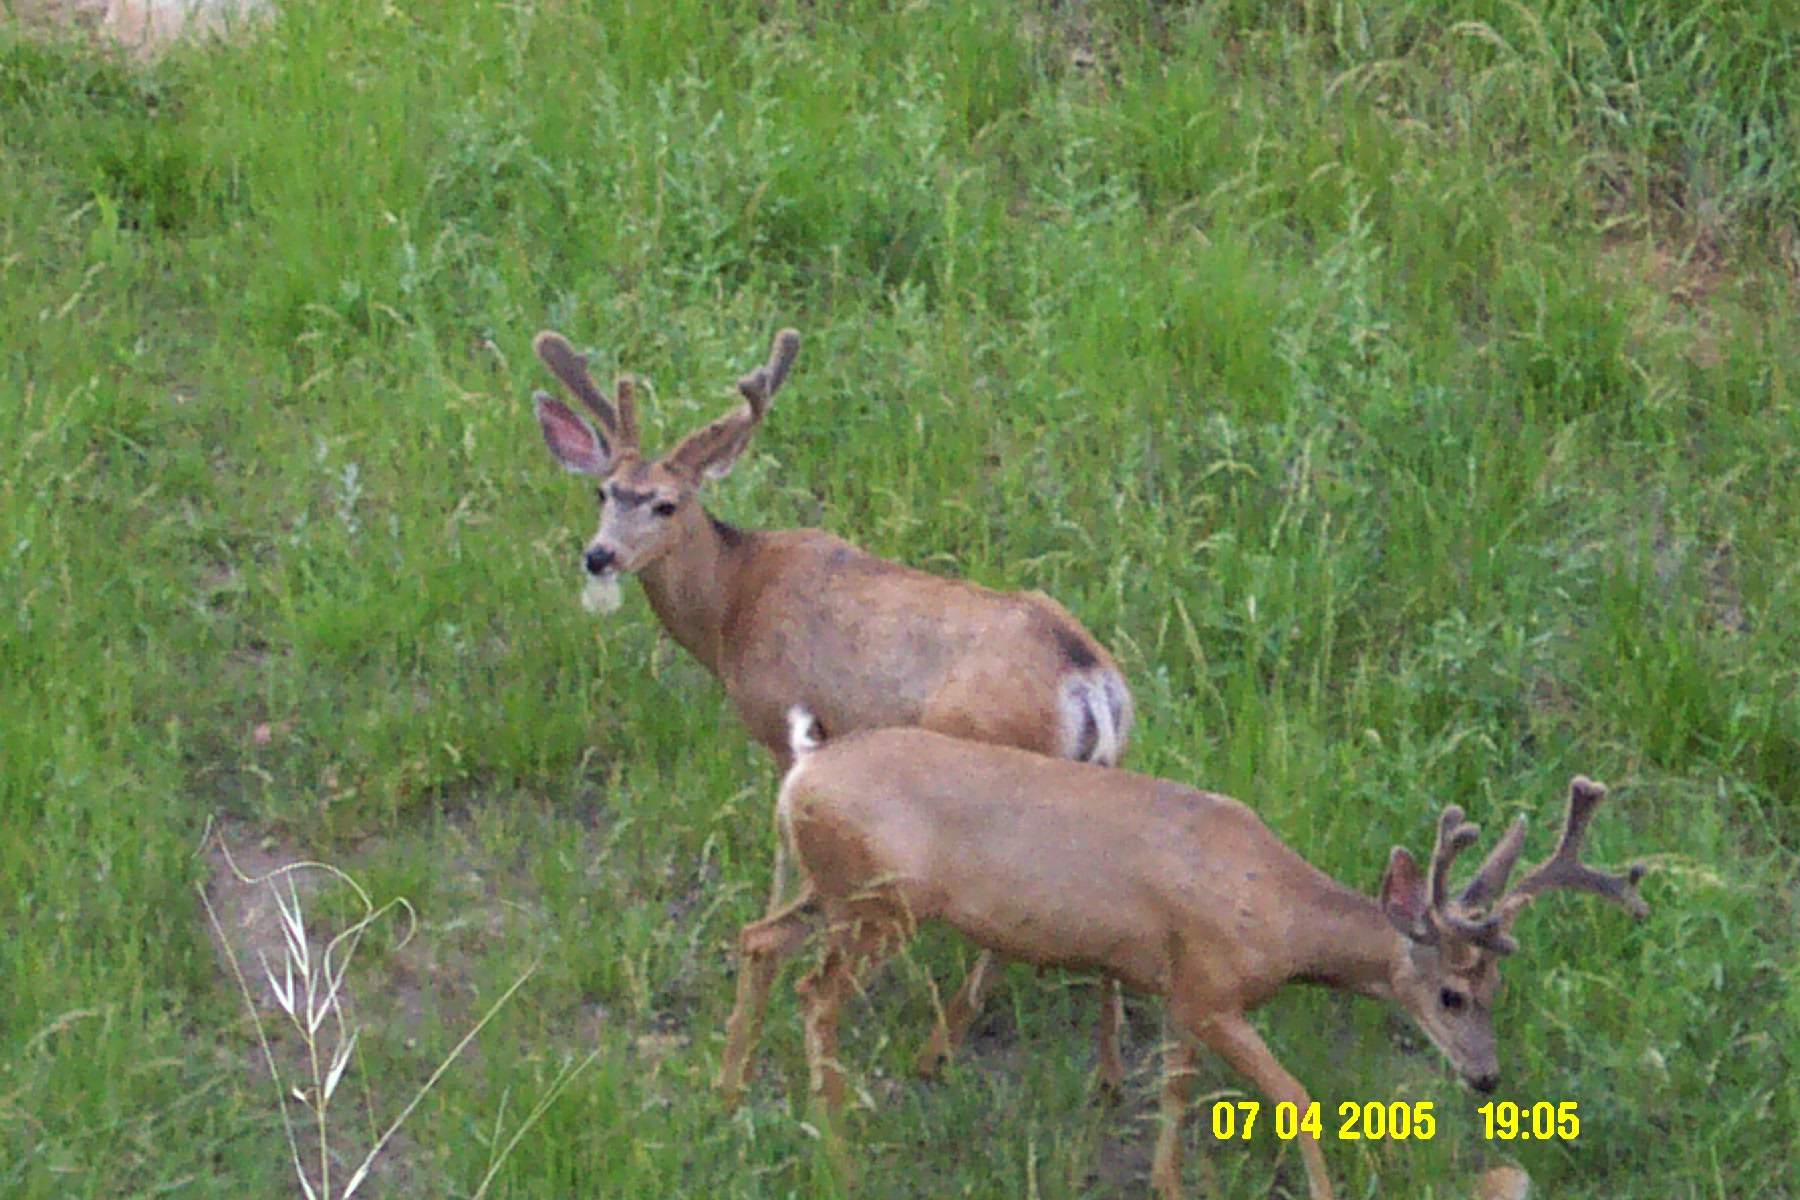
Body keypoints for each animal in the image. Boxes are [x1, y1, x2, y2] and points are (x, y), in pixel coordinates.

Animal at [529, 327, 1137, 1102]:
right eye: (603, 491)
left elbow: (783, 856)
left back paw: (938, 1052)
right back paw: (1107, 1074)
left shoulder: (786, 725)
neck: (730, 606)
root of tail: (1091, 683)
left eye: (665, 504)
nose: (599, 555)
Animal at [732, 711, 1650, 1200]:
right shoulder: (1212, 987)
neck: (1278, 915)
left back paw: (727, 1087)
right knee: (817, 995)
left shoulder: (1175, 990)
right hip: (879, 903)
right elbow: (1295, 1098)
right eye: (1454, 995)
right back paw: (838, 1146)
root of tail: (800, 773)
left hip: (831, 890)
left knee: (756, 939)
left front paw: (1166, 1183)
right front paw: (1323, 1191)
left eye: (1500, 986)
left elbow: (1173, 1093)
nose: (1487, 1077)